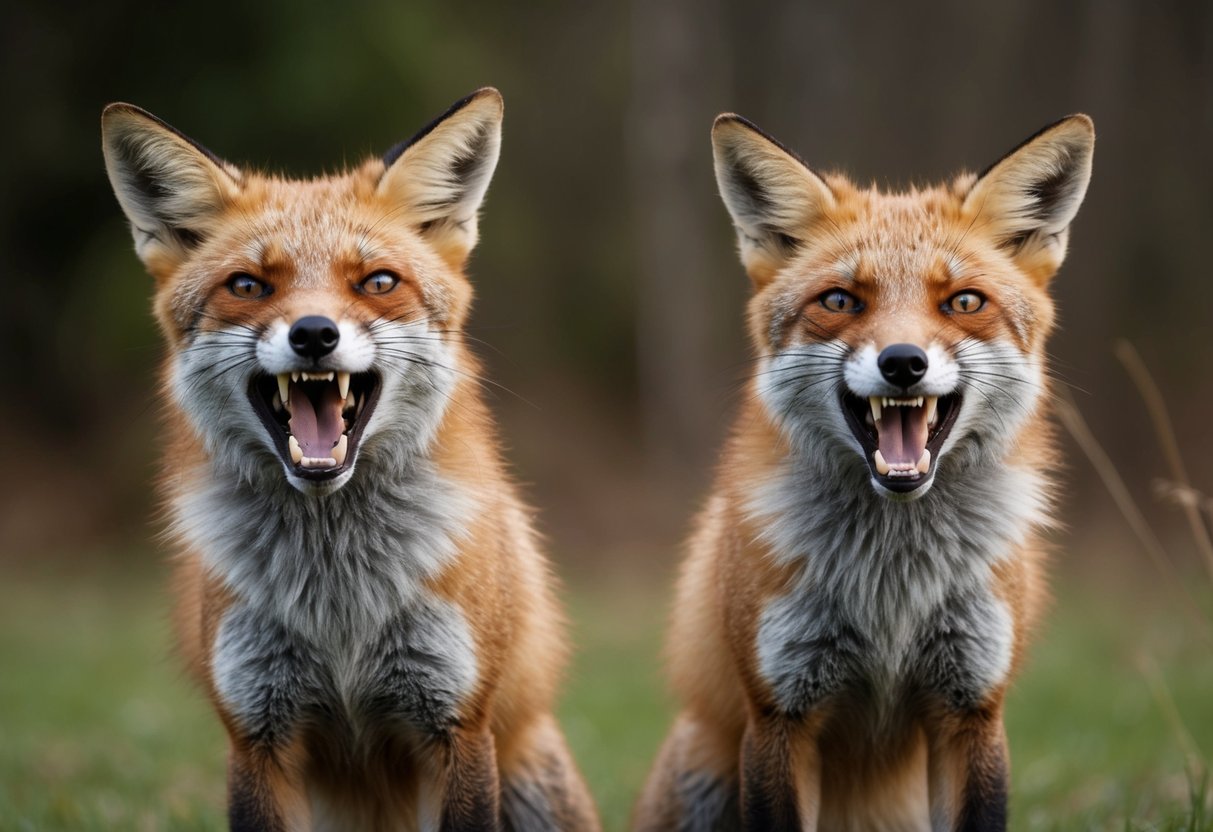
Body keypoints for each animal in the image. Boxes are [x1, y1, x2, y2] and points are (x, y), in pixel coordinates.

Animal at [101, 89, 600, 831]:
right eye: (247, 286)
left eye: (378, 281)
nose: (314, 334)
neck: (337, 605)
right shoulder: (257, 732)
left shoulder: (456, 722)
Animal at [633, 113, 1094, 831]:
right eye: (841, 299)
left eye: (964, 302)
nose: (902, 362)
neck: (892, 593)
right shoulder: (780, 711)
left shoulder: (971, 707)